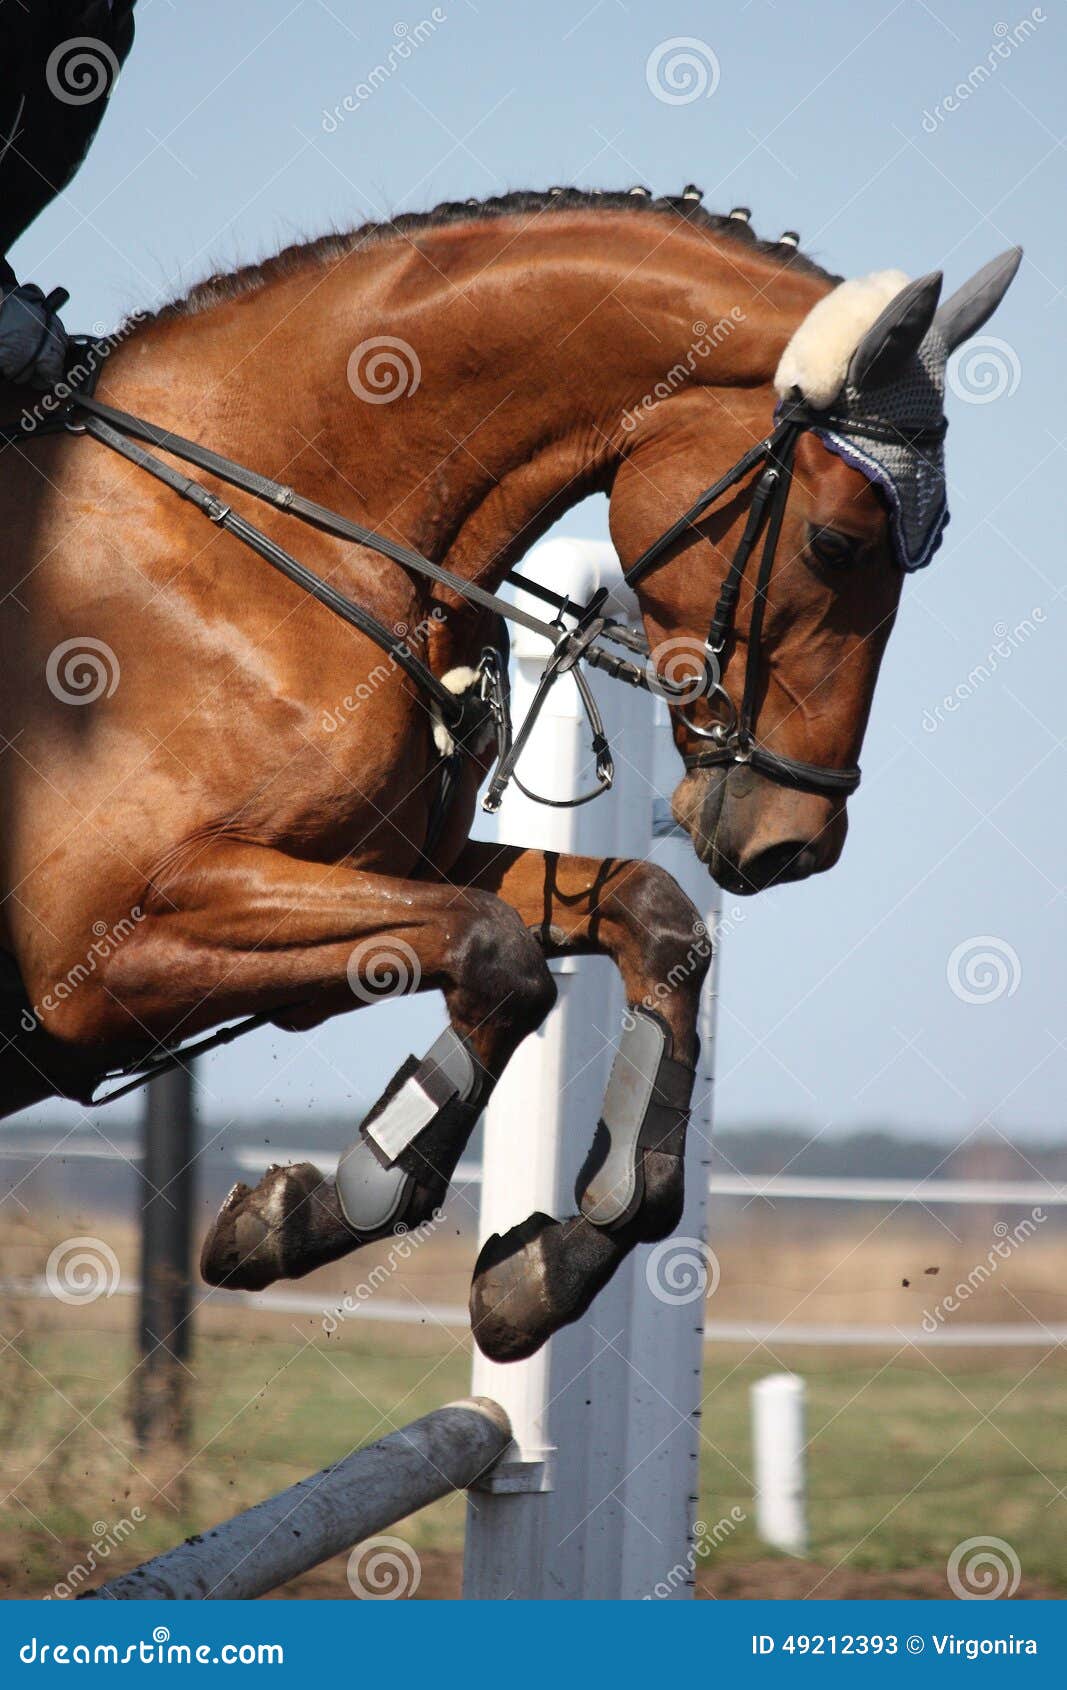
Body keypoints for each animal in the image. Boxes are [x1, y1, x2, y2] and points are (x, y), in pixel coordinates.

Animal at [0, 188, 1019, 1361]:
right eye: (834, 543)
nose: (794, 841)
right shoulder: (107, 948)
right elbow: (497, 958)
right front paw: (323, 1206)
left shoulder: (389, 871)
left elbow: (648, 918)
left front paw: (554, 1258)